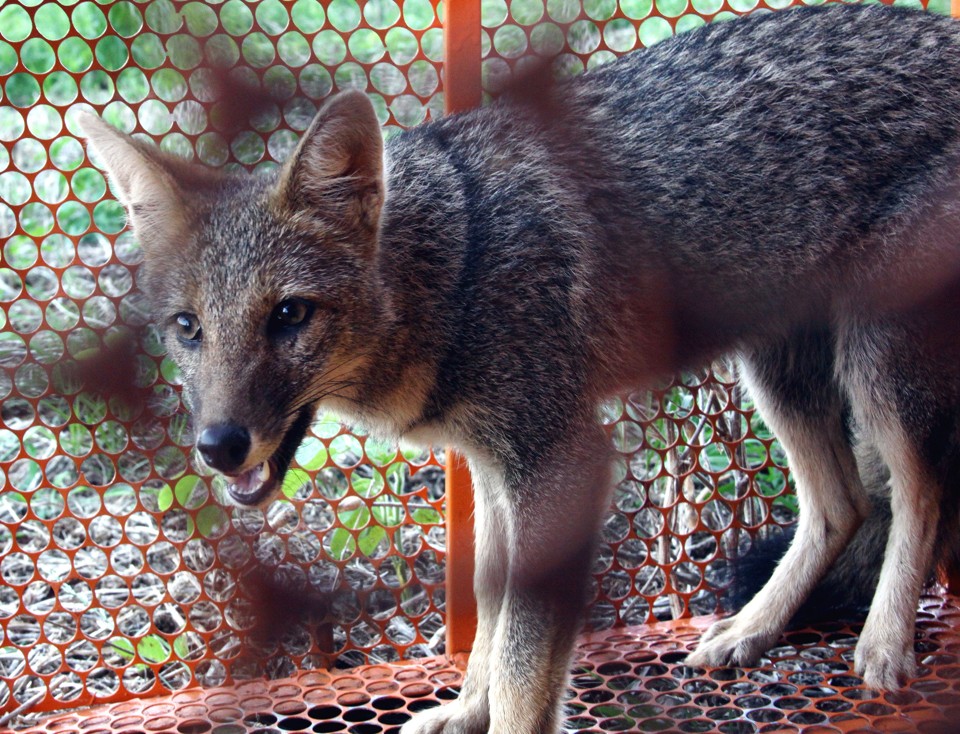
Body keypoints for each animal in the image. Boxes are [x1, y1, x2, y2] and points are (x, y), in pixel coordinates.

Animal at [79, 3, 960, 732]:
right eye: (188, 329)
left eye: (288, 316)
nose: (219, 445)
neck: (454, 266)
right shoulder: (495, 471)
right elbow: (490, 627)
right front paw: (465, 708)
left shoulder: (559, 461)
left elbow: (523, 665)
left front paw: (496, 711)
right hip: (776, 372)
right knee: (842, 505)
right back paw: (751, 629)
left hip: (874, 369)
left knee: (920, 491)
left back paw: (885, 644)